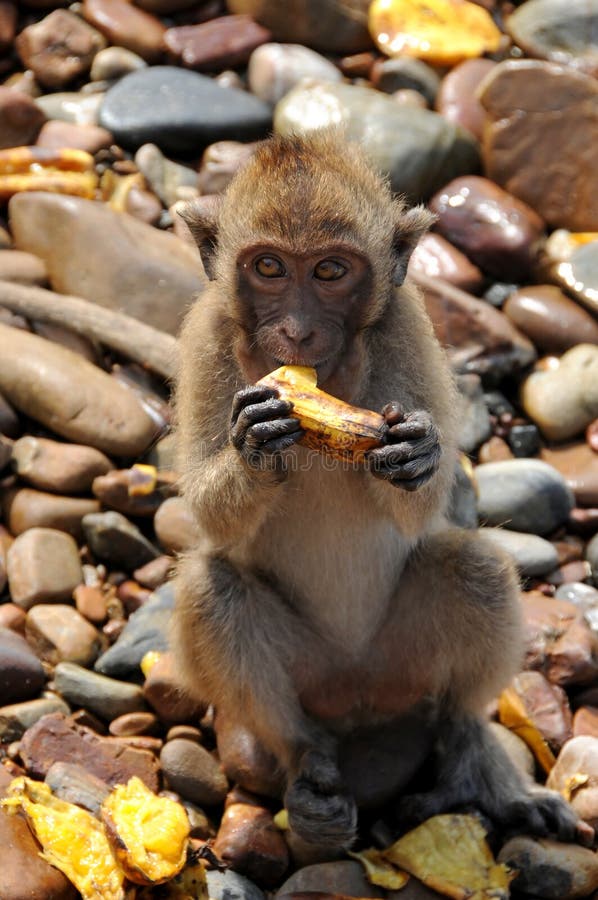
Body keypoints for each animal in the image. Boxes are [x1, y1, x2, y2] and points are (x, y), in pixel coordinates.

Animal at [172, 131, 588, 850]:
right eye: (270, 268)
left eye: (330, 272)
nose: (299, 331)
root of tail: (355, 693)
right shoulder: (207, 334)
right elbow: (206, 515)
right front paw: (254, 440)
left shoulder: (406, 323)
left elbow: (429, 506)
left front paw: (418, 453)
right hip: (311, 678)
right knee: (212, 589)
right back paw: (309, 769)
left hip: (403, 666)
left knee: (473, 570)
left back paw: (466, 754)